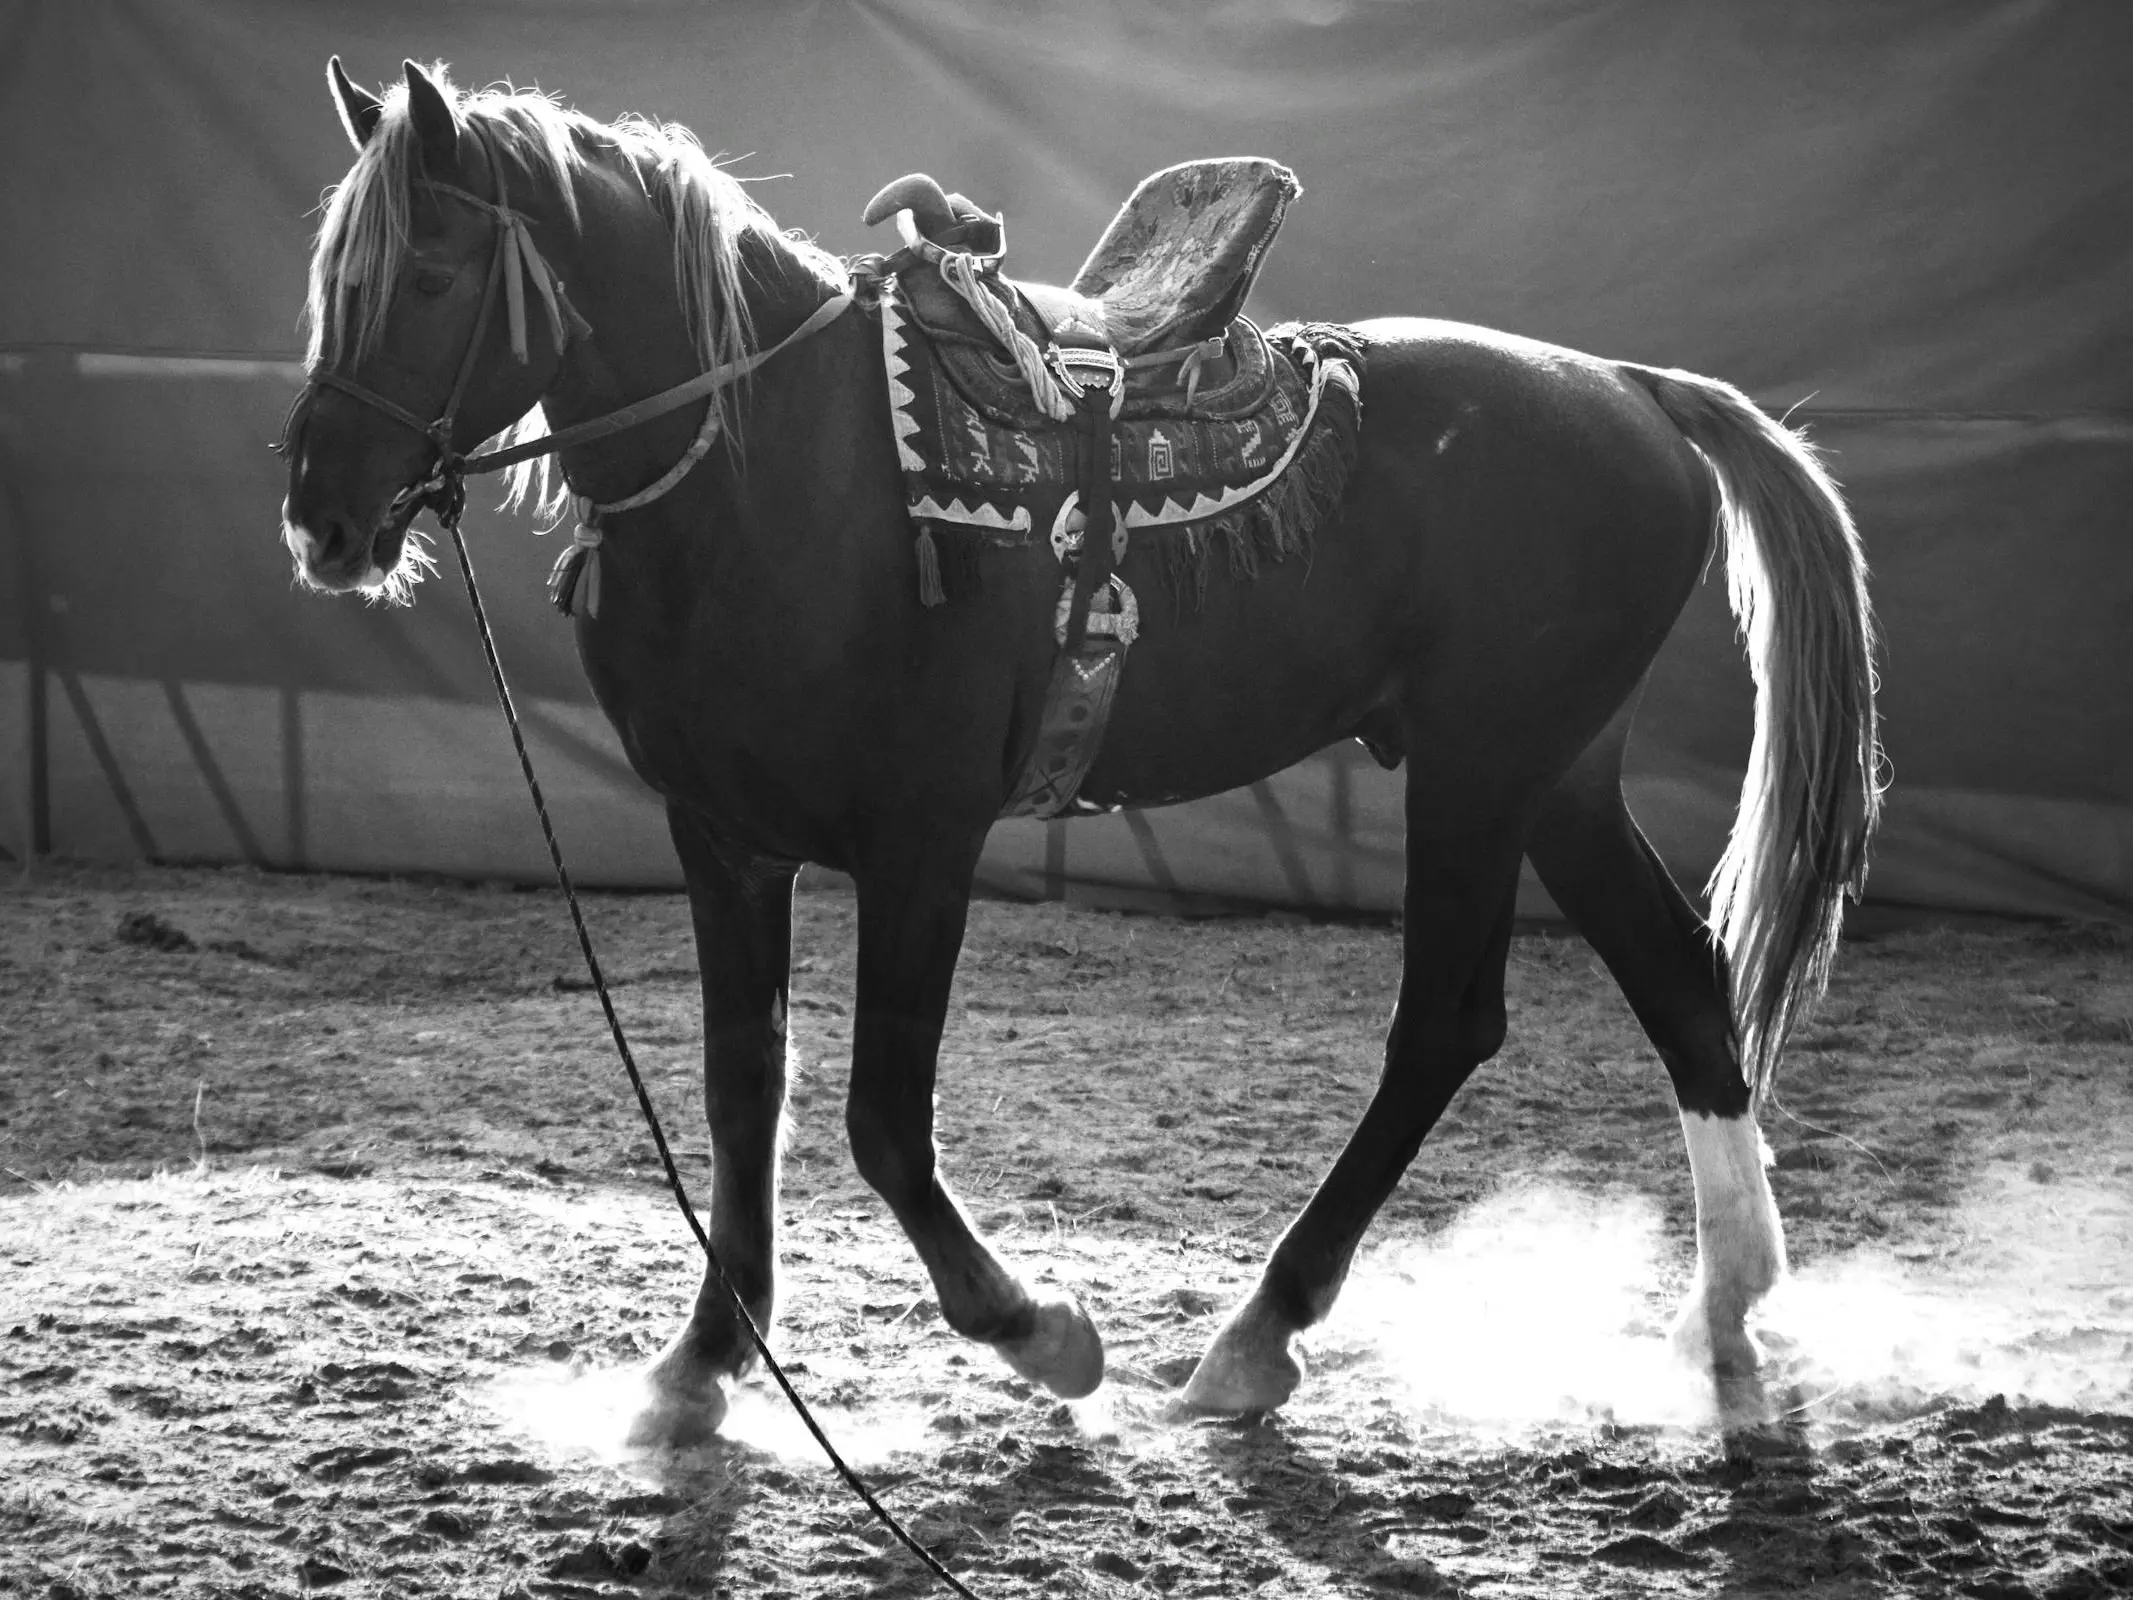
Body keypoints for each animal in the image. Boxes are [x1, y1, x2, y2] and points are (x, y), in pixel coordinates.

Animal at [280, 60, 1880, 1447]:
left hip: (1483, 774)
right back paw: (1724, 1313)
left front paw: (1040, 1331)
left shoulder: (920, 841)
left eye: (427, 278)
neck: (783, 470)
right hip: (1558, 778)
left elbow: (881, 1122)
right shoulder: (723, 838)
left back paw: (1257, 1333)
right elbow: (743, 1099)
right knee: (1680, 986)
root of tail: (1632, 387)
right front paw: (703, 1360)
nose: (322, 520)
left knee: (1448, 1022)